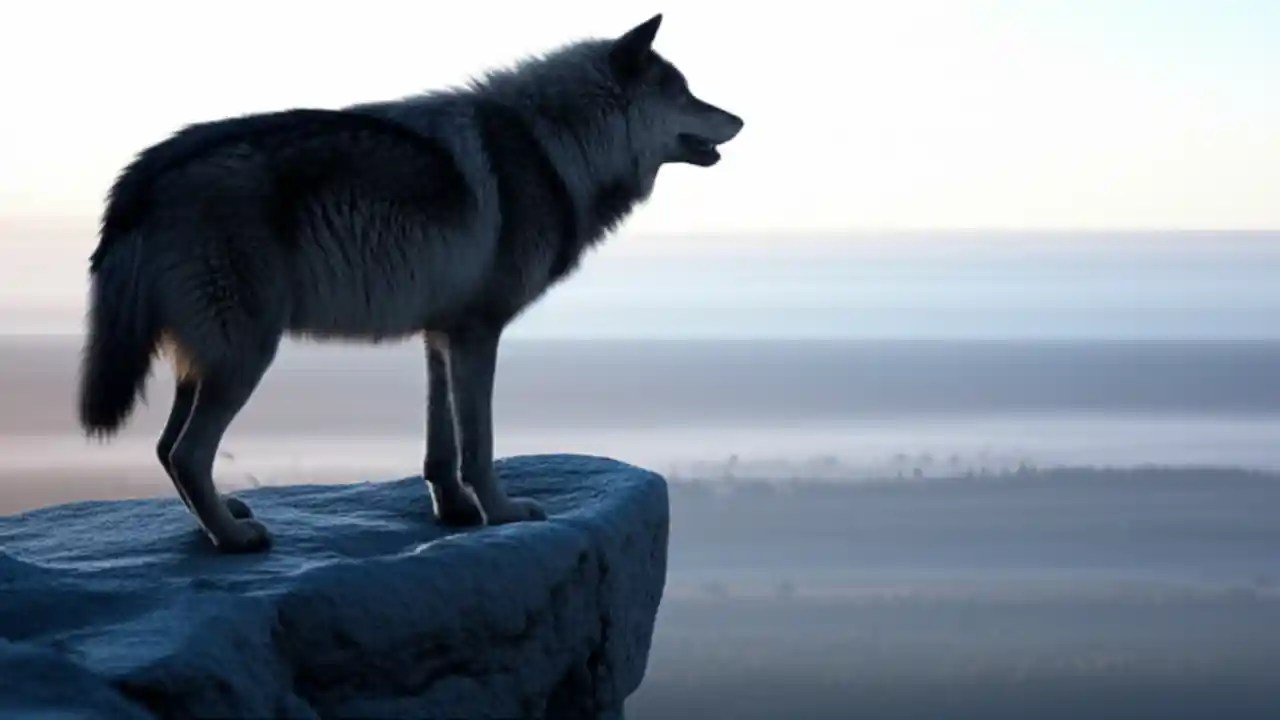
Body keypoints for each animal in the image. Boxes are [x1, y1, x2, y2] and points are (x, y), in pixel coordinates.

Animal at [76, 14, 742, 553]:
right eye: (686, 94)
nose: (740, 117)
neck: (552, 145)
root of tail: (142, 174)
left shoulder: (441, 334)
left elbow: (441, 446)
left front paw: (454, 511)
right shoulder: (478, 333)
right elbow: (480, 443)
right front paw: (501, 512)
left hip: (207, 357)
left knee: (166, 448)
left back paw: (219, 521)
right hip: (246, 355)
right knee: (187, 452)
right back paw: (236, 540)